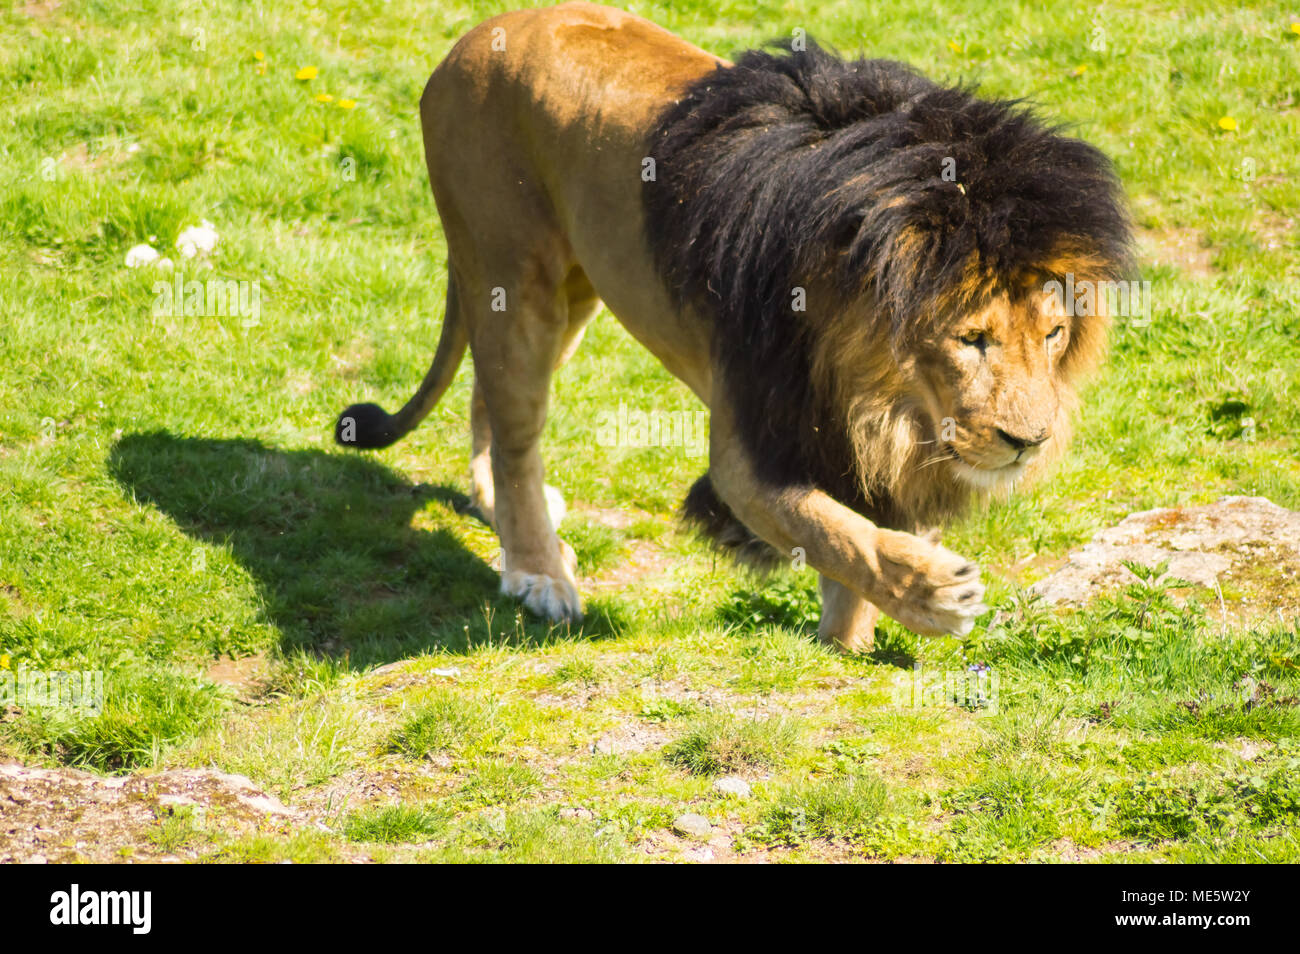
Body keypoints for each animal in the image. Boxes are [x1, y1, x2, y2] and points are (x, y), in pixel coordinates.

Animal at [334, 2, 1133, 652]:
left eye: (1054, 336)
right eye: (971, 339)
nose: (1028, 443)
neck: (883, 393)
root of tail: (475, 36)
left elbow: (851, 552)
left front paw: (848, 644)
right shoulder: (749, 446)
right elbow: (833, 530)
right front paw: (934, 592)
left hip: (568, 291)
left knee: (490, 402)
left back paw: (499, 514)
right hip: (513, 271)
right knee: (518, 431)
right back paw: (537, 572)